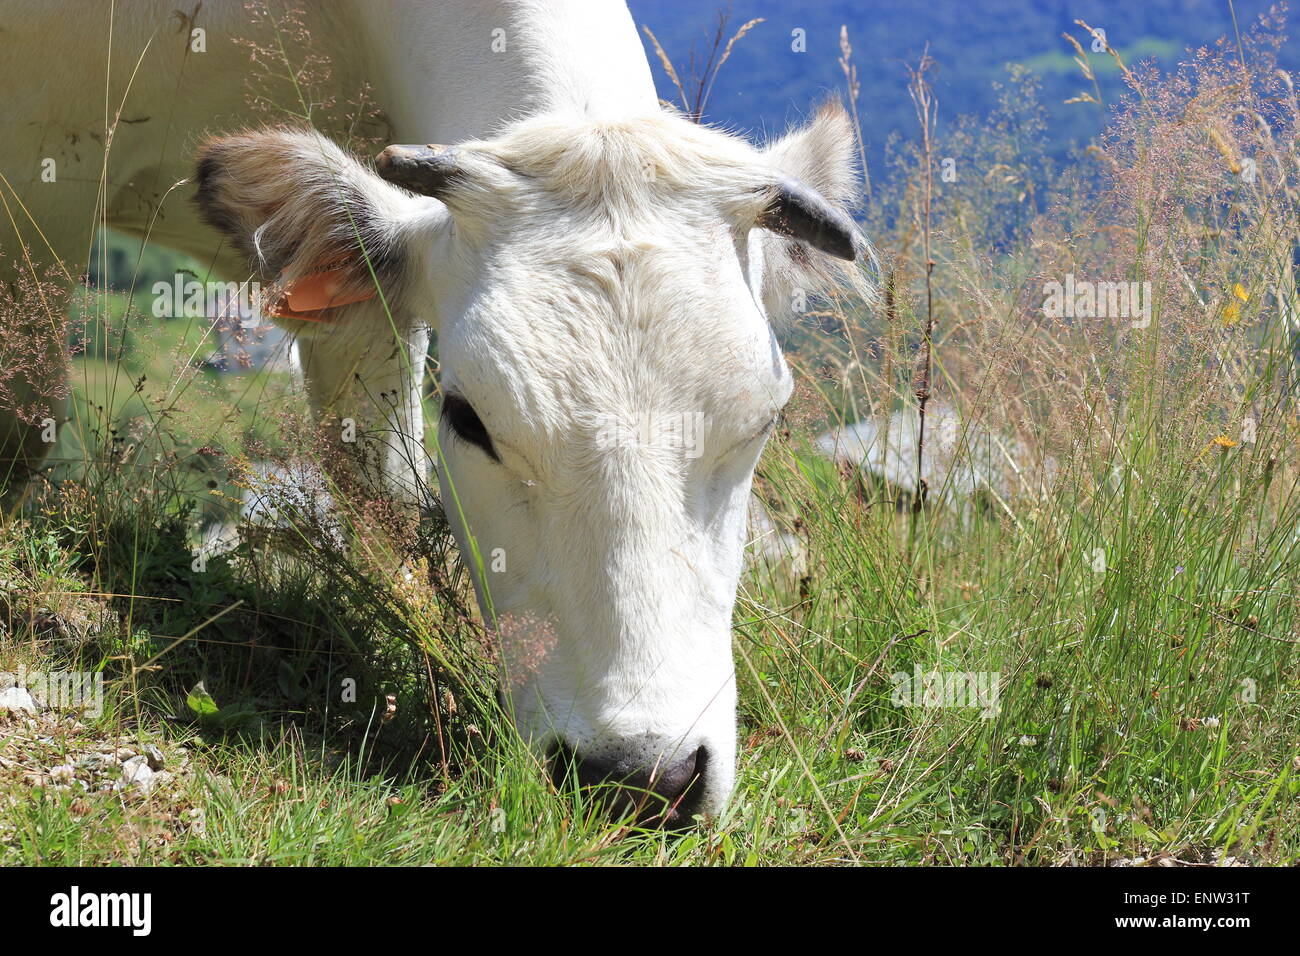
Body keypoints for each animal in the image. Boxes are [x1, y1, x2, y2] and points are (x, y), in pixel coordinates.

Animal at [0, 0, 873, 823]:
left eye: (762, 423)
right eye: (468, 416)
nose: (640, 777)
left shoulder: (360, 301)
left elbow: (381, 487)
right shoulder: (41, 157)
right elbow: (24, 418)